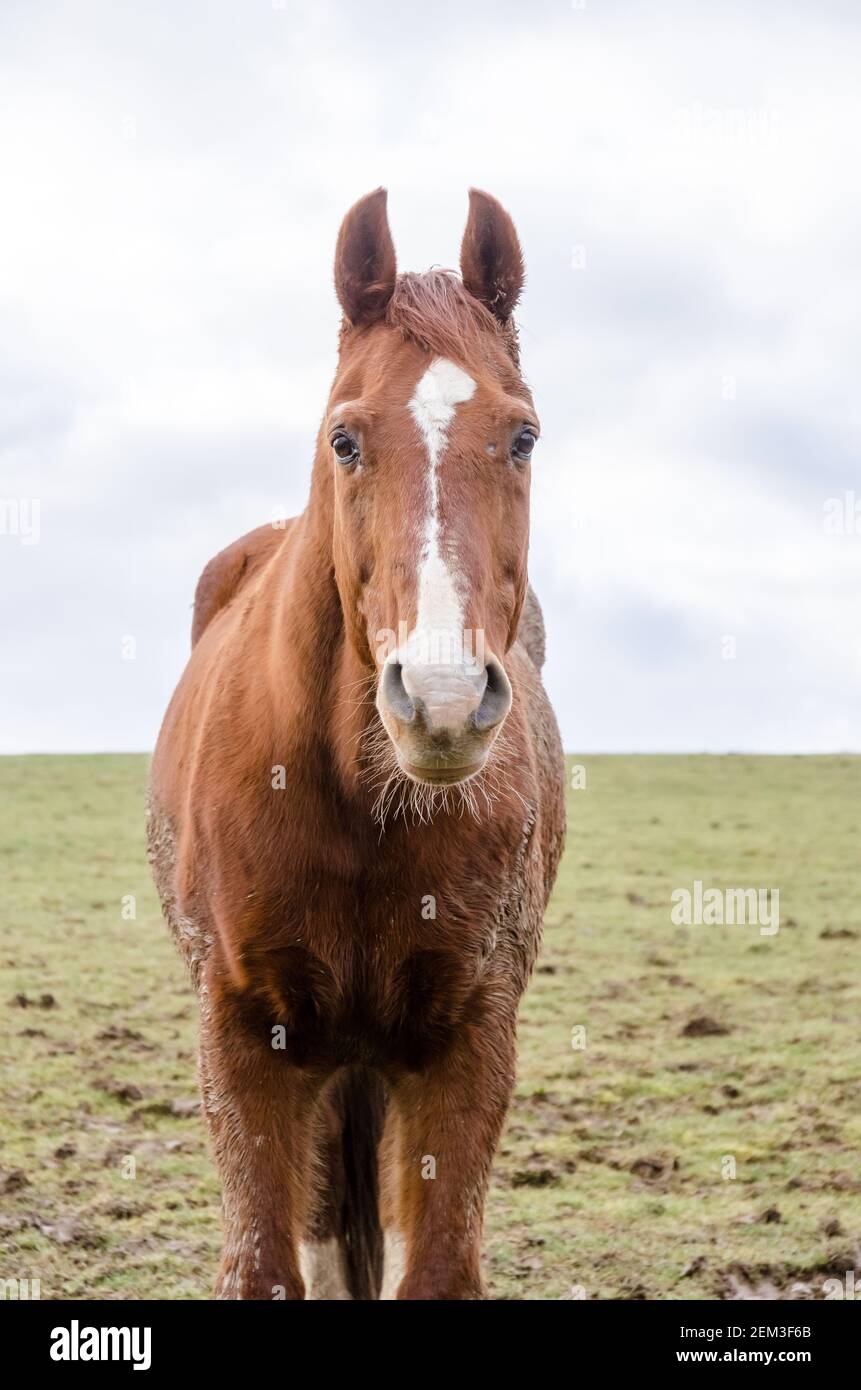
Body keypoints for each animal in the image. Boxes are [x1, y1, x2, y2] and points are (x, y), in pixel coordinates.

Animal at [147, 187, 565, 1301]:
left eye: (523, 436)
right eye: (344, 438)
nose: (443, 700)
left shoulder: (470, 1040)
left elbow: (437, 1268)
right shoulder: (245, 1038)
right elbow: (266, 1266)